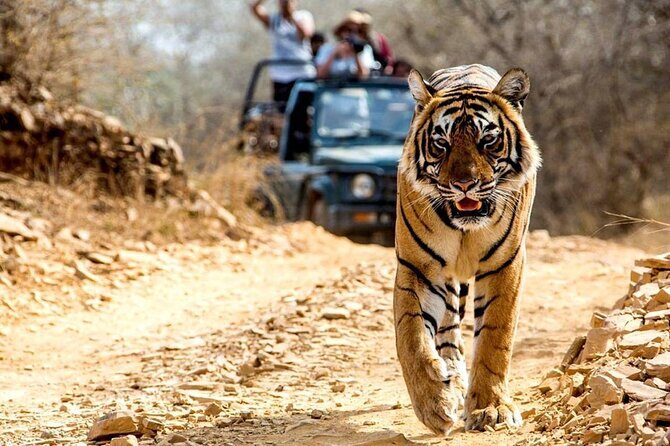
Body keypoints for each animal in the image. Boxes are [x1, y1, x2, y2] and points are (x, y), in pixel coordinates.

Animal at [393, 64, 541, 434]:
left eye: (487, 140)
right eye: (441, 144)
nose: (464, 184)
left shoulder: (505, 265)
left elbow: (494, 339)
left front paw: (492, 409)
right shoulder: (417, 268)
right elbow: (411, 337)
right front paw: (434, 404)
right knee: (447, 333)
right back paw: (452, 380)